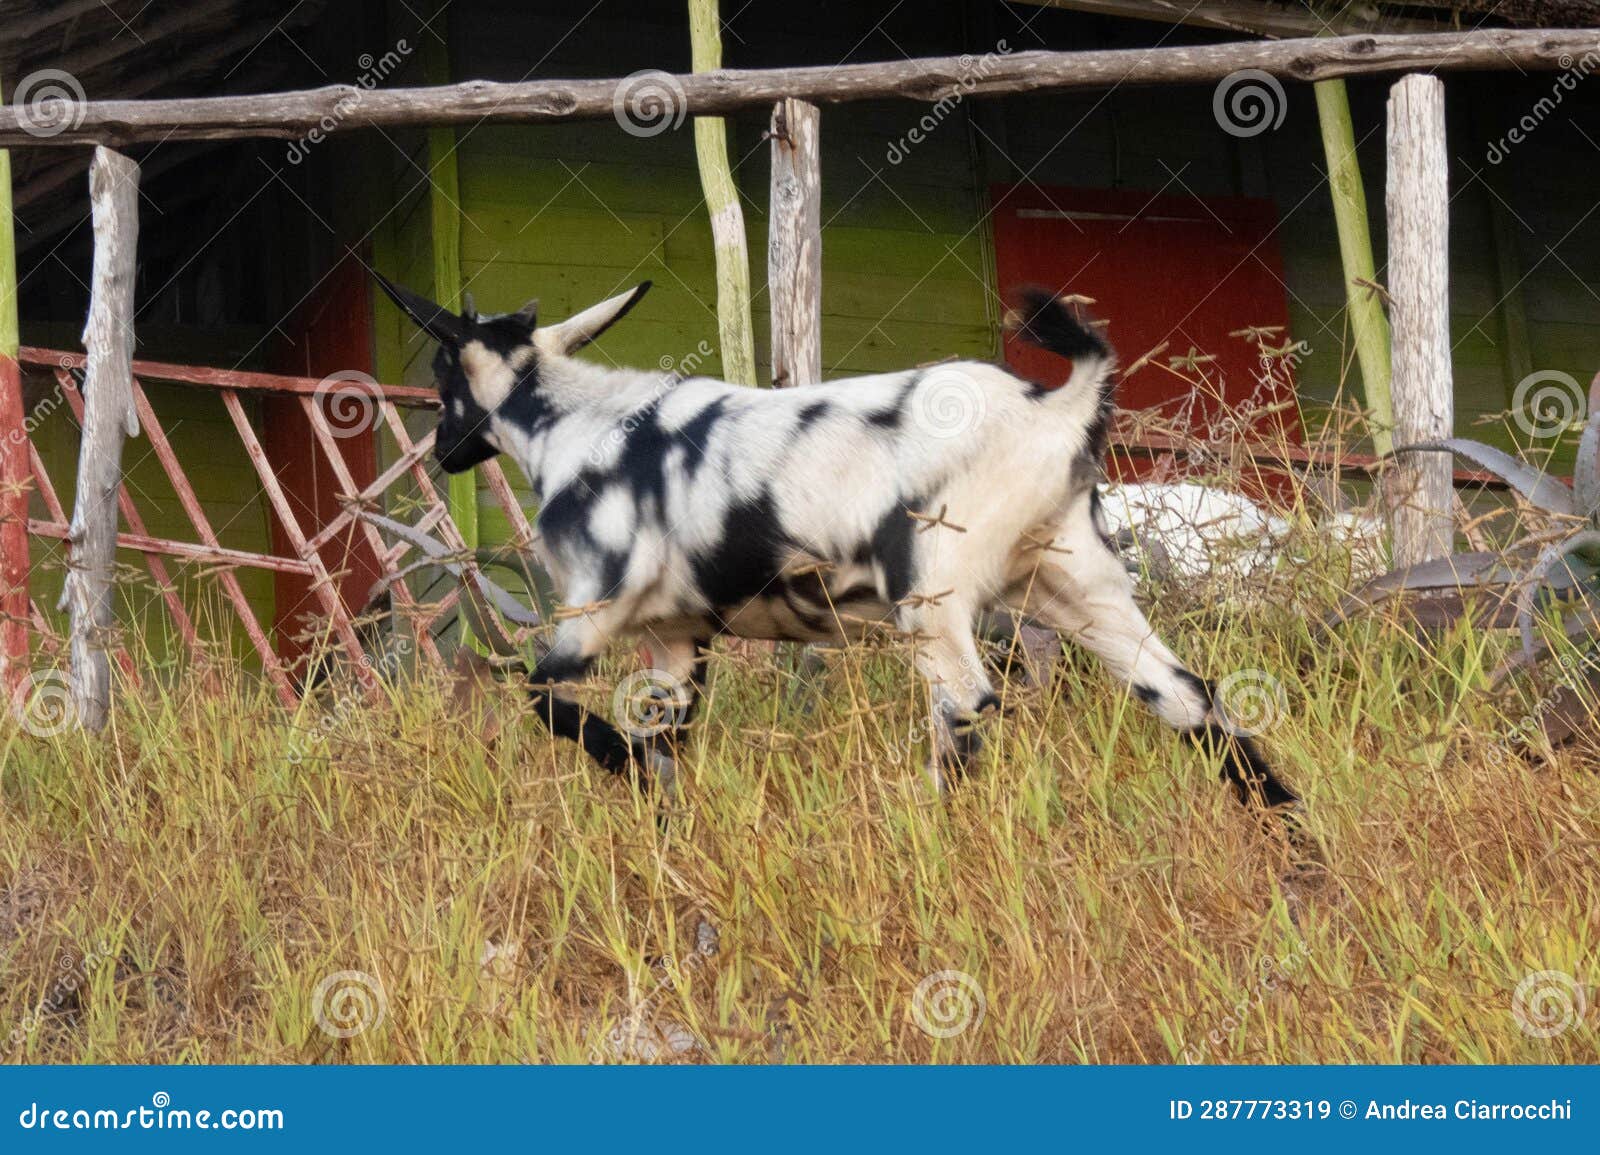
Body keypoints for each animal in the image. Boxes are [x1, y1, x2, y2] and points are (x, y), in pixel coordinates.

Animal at [372, 272, 1300, 827]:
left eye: (440, 371)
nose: (444, 452)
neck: (580, 423)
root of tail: (1060, 405)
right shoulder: (678, 636)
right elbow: (667, 740)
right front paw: (664, 818)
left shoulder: (598, 605)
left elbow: (544, 697)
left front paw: (618, 766)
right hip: (1078, 579)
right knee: (1191, 698)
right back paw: (1294, 837)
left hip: (933, 590)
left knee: (966, 706)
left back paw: (932, 831)